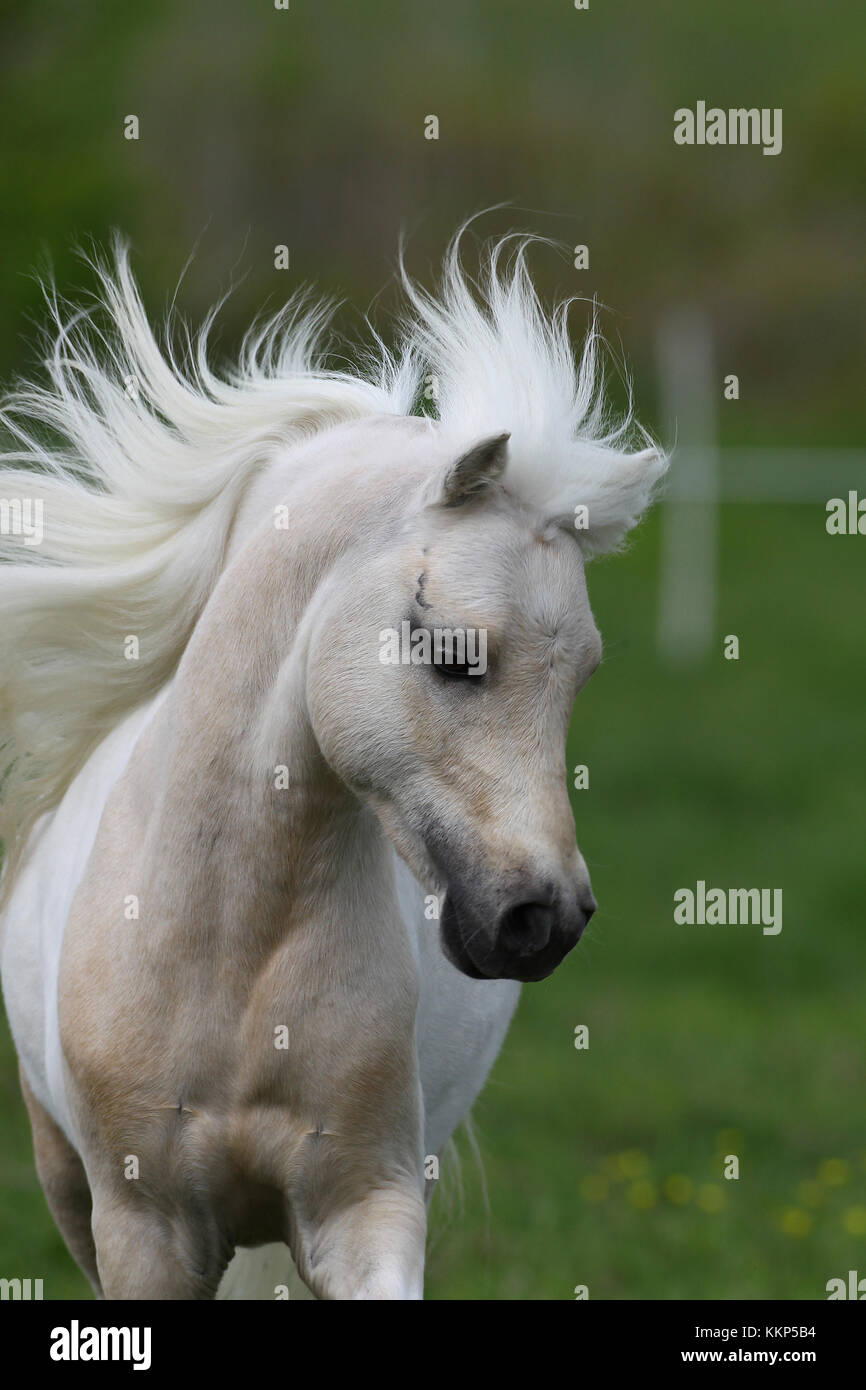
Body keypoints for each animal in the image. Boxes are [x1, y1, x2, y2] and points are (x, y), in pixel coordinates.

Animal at [0, 230, 666, 1299]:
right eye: (452, 653)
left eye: (584, 679)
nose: (543, 919)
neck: (233, 953)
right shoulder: (144, 1231)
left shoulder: (365, 1207)